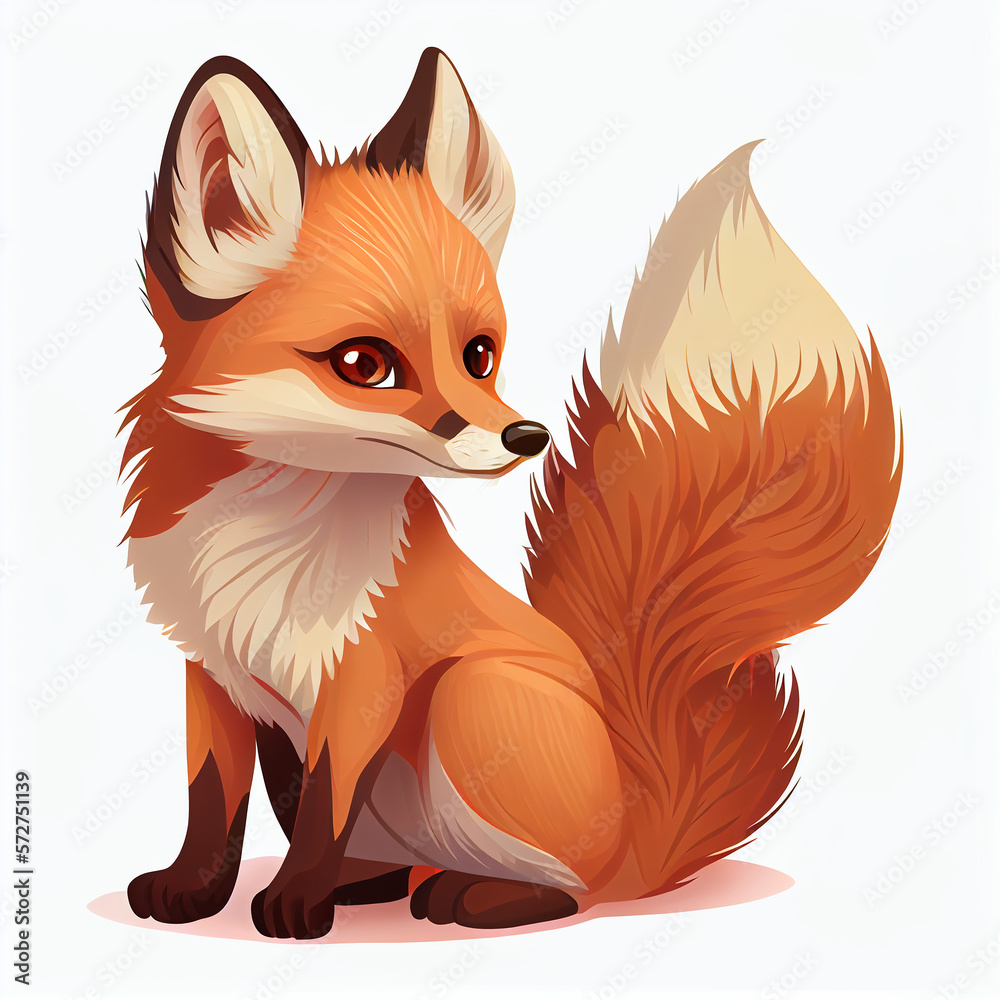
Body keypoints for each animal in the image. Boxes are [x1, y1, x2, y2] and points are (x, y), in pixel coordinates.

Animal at [119, 47, 901, 938]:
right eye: (364, 363)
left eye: (479, 353)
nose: (527, 437)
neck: (261, 549)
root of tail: (637, 833)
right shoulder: (211, 675)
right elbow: (210, 801)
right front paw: (193, 889)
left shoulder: (363, 681)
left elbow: (326, 808)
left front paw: (293, 903)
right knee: (401, 869)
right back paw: (374, 883)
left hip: (468, 694)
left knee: (571, 890)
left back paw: (473, 895)